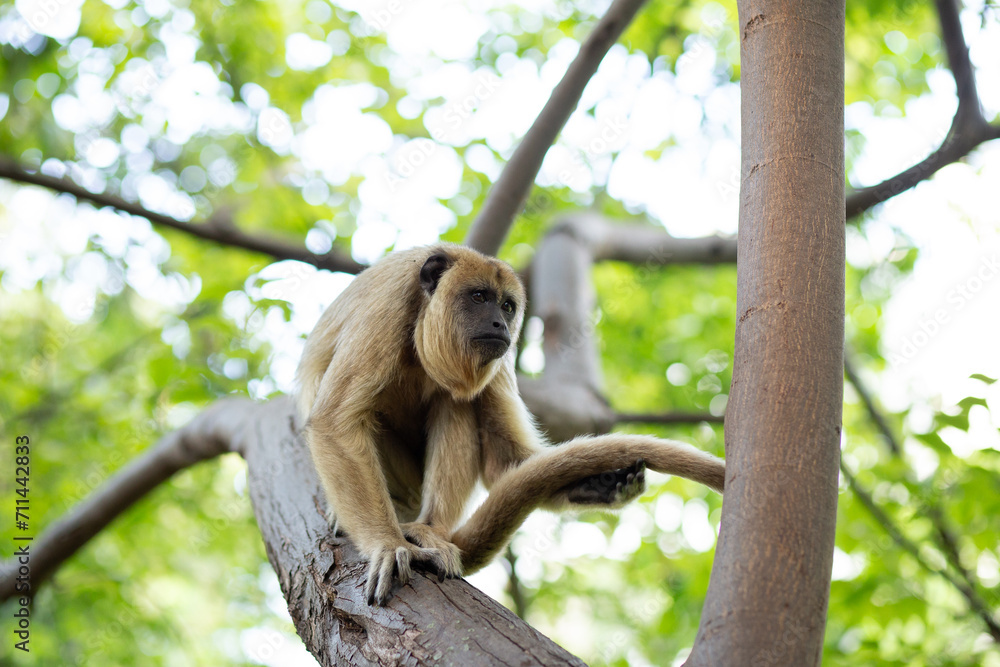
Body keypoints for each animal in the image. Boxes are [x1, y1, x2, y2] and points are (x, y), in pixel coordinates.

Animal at [296, 242, 725, 605]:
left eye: (507, 306)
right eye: (479, 297)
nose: (500, 324)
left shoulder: (501, 356)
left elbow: (506, 461)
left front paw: (596, 484)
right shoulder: (389, 305)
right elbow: (335, 420)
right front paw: (385, 544)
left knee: (455, 403)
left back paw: (431, 530)